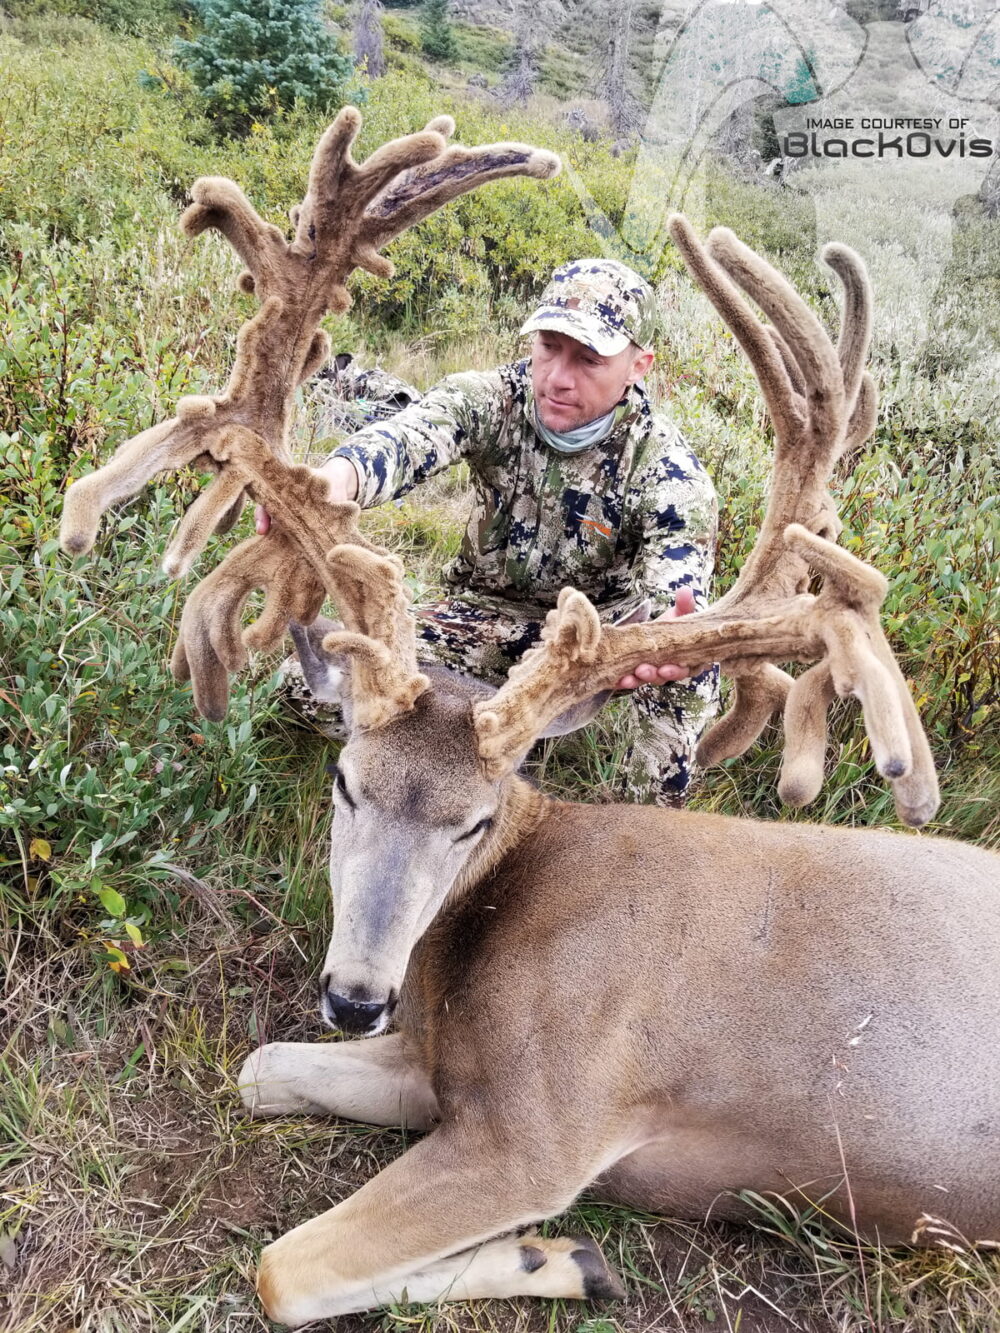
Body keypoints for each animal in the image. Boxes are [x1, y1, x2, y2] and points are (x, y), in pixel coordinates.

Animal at [59, 110, 1000, 1328]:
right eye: (345, 782)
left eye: (474, 818)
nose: (353, 996)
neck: (468, 948)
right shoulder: (434, 1064)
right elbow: (260, 1067)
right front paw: (557, 1257)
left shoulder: (546, 1124)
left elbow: (284, 1267)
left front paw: (556, 1254)